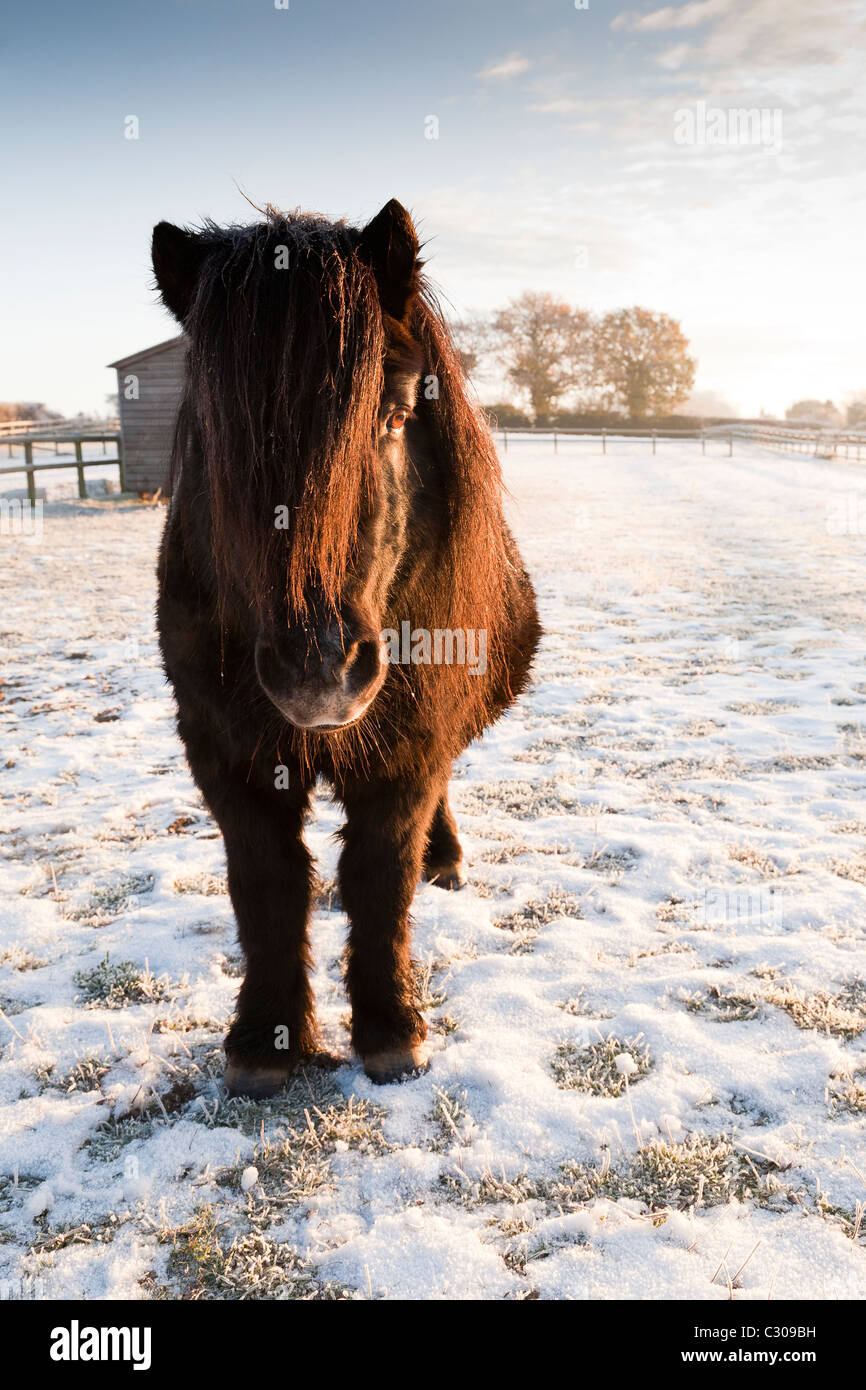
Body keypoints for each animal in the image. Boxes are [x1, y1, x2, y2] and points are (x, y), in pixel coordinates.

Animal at [152, 199, 541, 1094]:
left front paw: (391, 1029)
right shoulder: (227, 754)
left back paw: (446, 857)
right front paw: (264, 1039)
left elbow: (380, 876)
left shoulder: (409, 749)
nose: (319, 675)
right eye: (220, 437)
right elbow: (266, 884)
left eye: (393, 416)